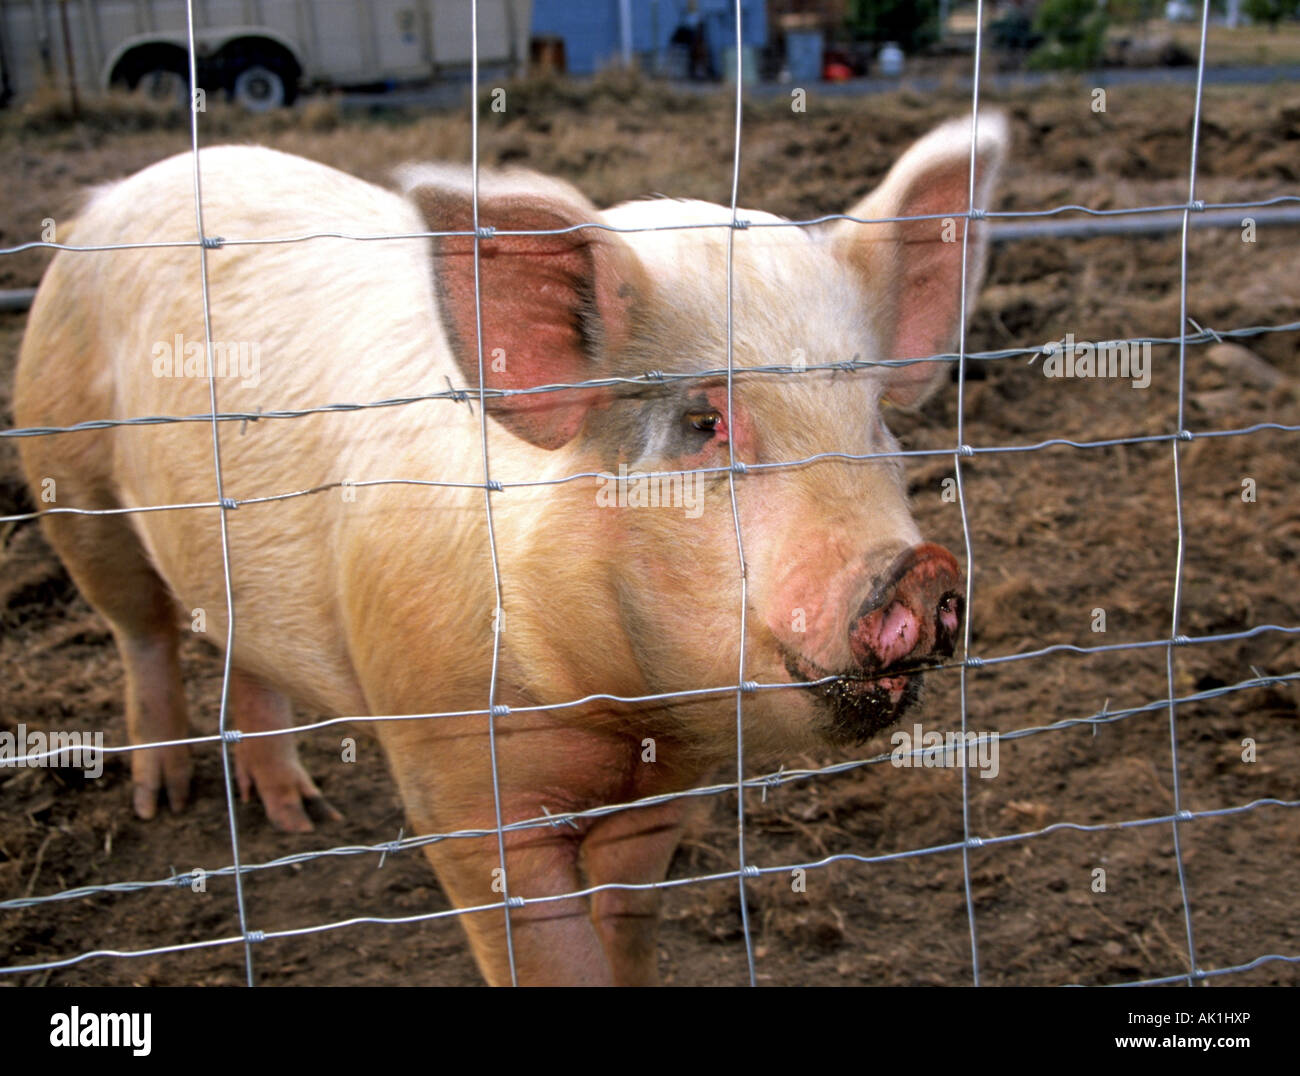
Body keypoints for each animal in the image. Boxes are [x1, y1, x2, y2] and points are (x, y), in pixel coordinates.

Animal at [14, 114, 1007, 985]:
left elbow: (627, 929)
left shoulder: (666, 792)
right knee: (141, 629)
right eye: (702, 423)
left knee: (236, 646)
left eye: (873, 417)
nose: (920, 571)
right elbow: (549, 952)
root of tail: (114, 193)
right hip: (65, 462)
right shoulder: (457, 772)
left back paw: (300, 816)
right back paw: (165, 796)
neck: (619, 718)